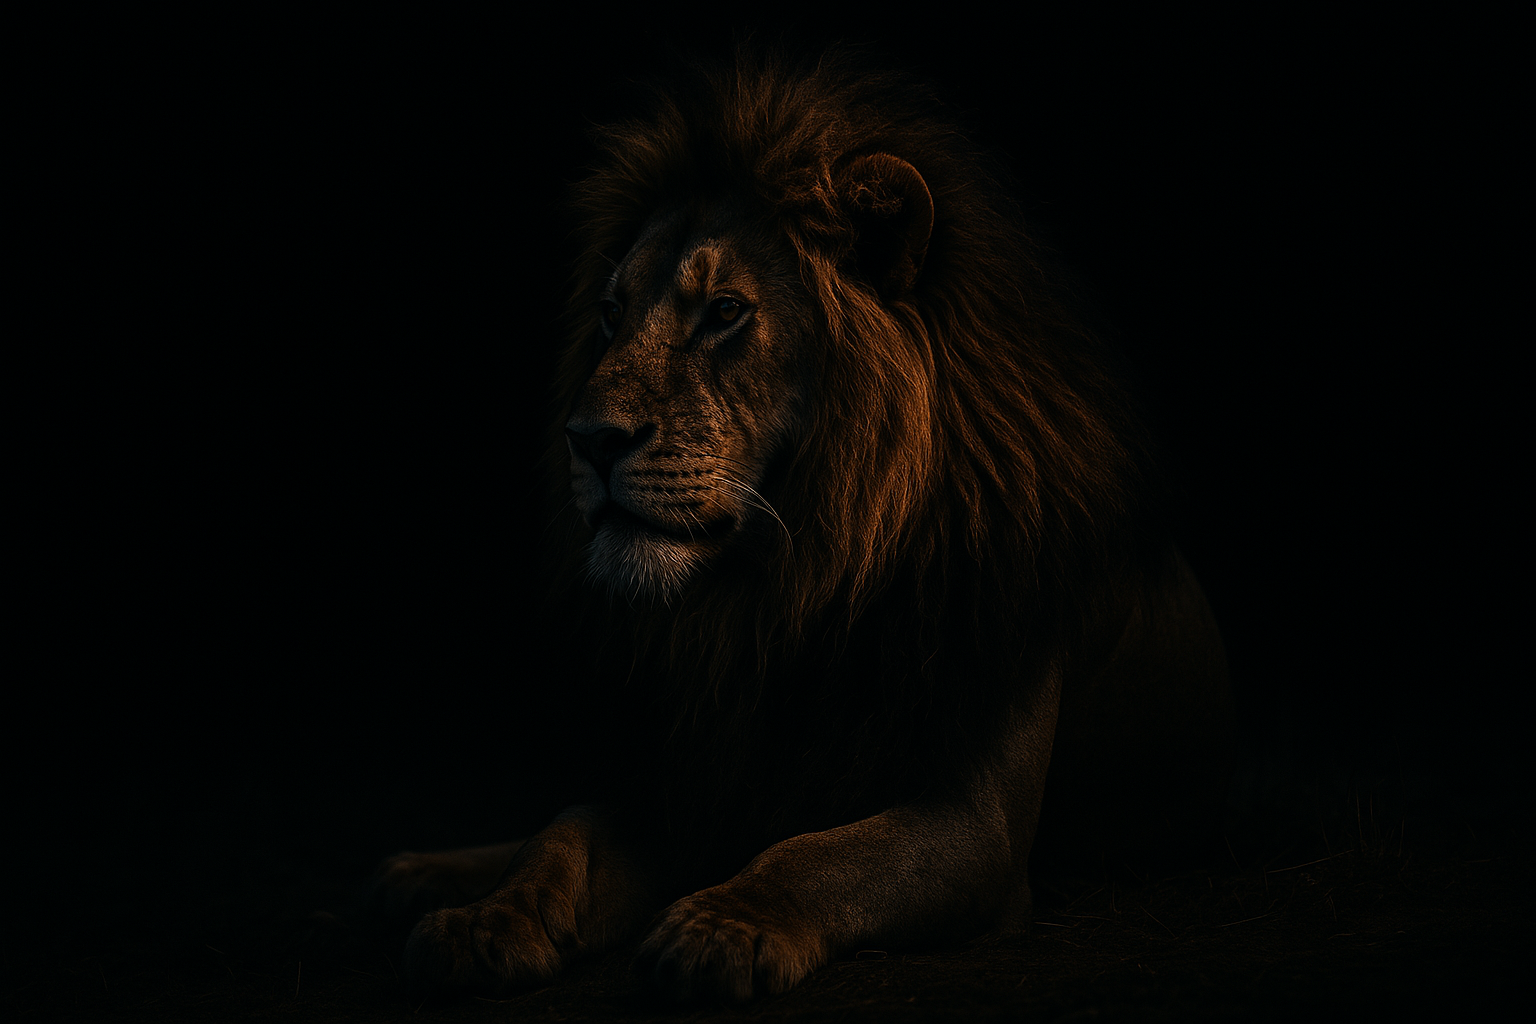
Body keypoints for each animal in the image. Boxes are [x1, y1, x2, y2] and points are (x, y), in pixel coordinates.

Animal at [383, 49, 1232, 1003]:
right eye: (610, 313)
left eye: (724, 312)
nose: (589, 439)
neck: (794, 585)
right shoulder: (712, 776)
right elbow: (566, 826)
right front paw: (484, 920)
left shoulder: (975, 822)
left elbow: (816, 858)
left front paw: (722, 926)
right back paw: (420, 873)